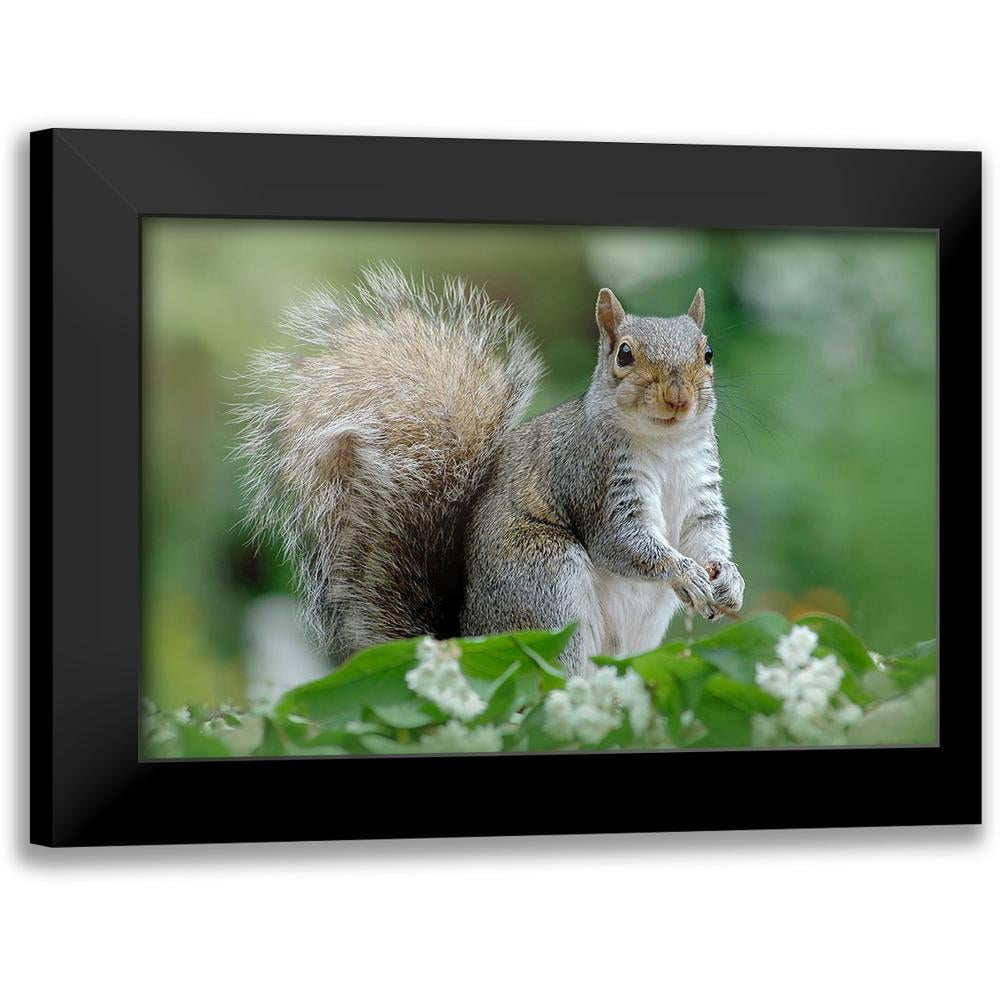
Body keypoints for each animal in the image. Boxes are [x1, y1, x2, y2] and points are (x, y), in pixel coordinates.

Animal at [235, 264, 744, 676]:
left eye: (708, 353)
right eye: (624, 354)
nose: (678, 398)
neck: (665, 446)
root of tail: (468, 640)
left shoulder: (701, 490)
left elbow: (706, 536)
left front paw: (730, 580)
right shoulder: (593, 479)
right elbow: (624, 544)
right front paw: (685, 573)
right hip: (544, 581)